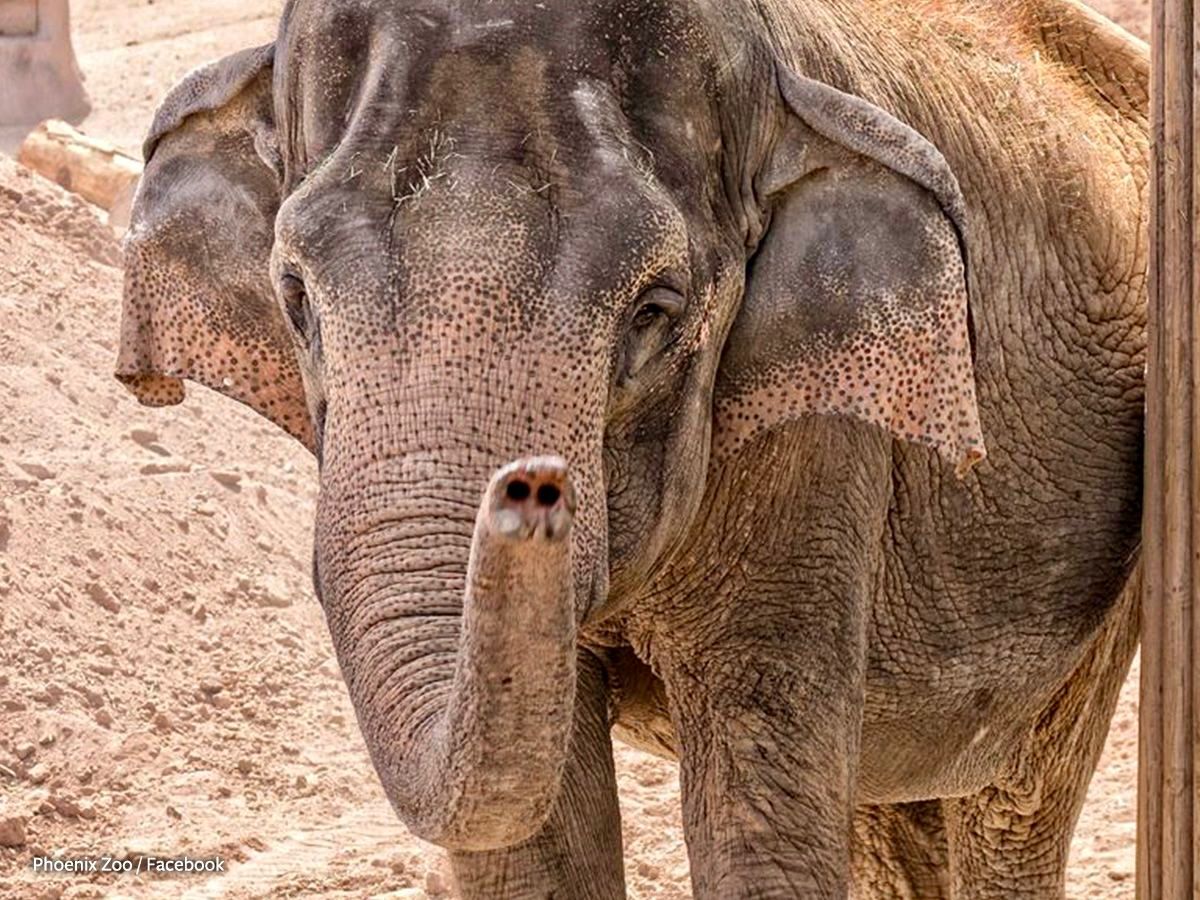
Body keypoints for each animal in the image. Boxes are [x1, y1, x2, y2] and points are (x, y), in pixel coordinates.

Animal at [113, 0, 1147, 896]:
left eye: (654, 312)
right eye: (295, 296)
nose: (527, 488)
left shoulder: (821, 439)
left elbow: (758, 819)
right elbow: (537, 845)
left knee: (1010, 811)